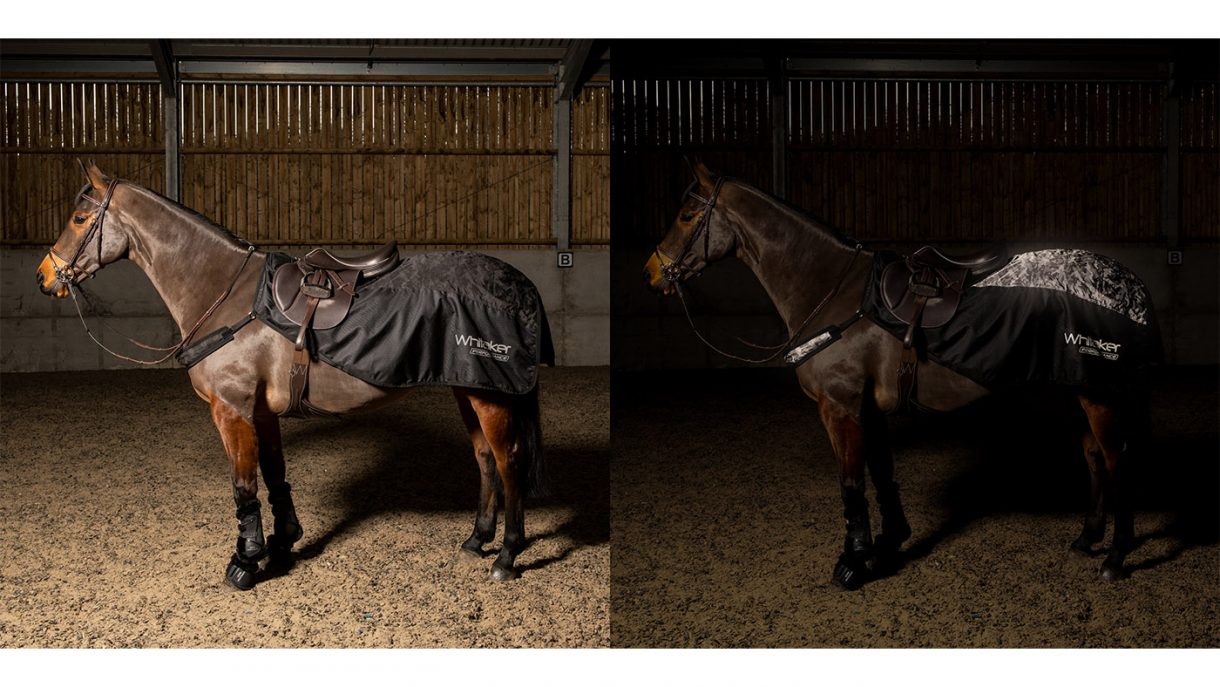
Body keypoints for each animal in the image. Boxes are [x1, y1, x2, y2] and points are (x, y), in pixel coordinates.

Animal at [35, 162, 546, 590]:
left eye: (79, 219)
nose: (44, 277)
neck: (227, 292)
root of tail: (517, 284)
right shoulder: (261, 412)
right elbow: (274, 473)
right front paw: (282, 541)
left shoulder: (232, 410)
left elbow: (243, 485)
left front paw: (245, 561)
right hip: (470, 389)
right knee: (484, 459)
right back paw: (476, 540)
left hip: (492, 397)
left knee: (509, 462)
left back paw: (507, 555)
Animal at [644, 161, 1160, 589]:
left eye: (687, 215)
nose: (653, 271)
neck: (838, 291)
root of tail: (1131, 285)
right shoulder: (867, 408)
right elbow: (881, 472)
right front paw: (888, 543)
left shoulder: (840, 406)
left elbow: (851, 483)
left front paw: (853, 563)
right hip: (1079, 390)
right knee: (1094, 458)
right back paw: (1087, 537)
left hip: (1099, 395)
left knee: (1117, 460)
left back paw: (1115, 557)